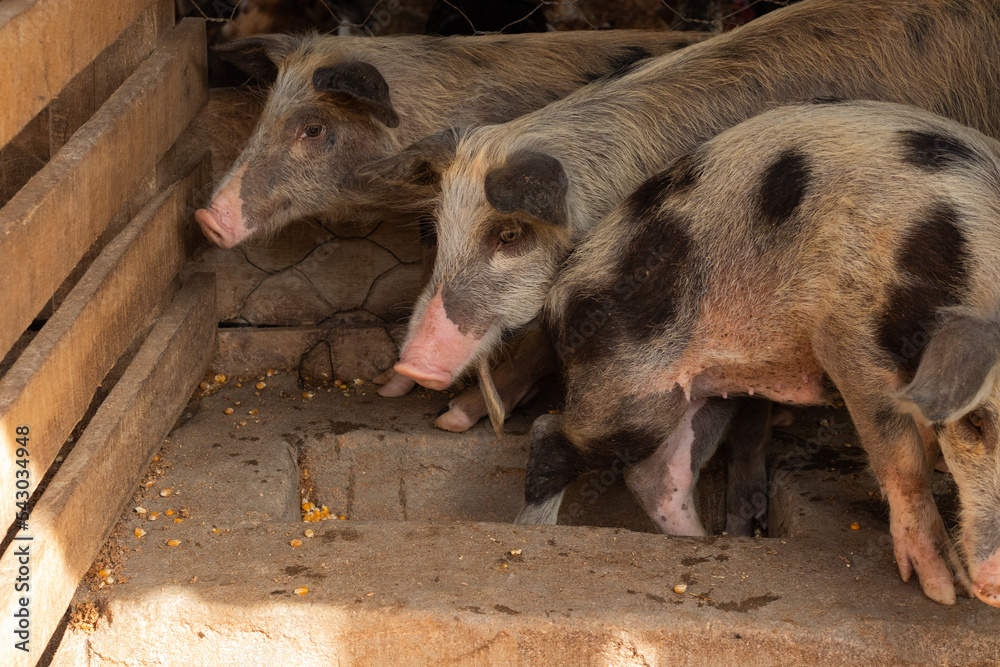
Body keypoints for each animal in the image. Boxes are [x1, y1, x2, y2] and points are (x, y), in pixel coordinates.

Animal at [517, 99, 1000, 607]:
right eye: (975, 422)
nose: (990, 586)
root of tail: (558, 295)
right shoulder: (848, 334)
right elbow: (901, 455)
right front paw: (943, 590)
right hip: (629, 390)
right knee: (551, 435)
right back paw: (534, 535)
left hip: (709, 393)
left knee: (659, 477)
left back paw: (702, 542)